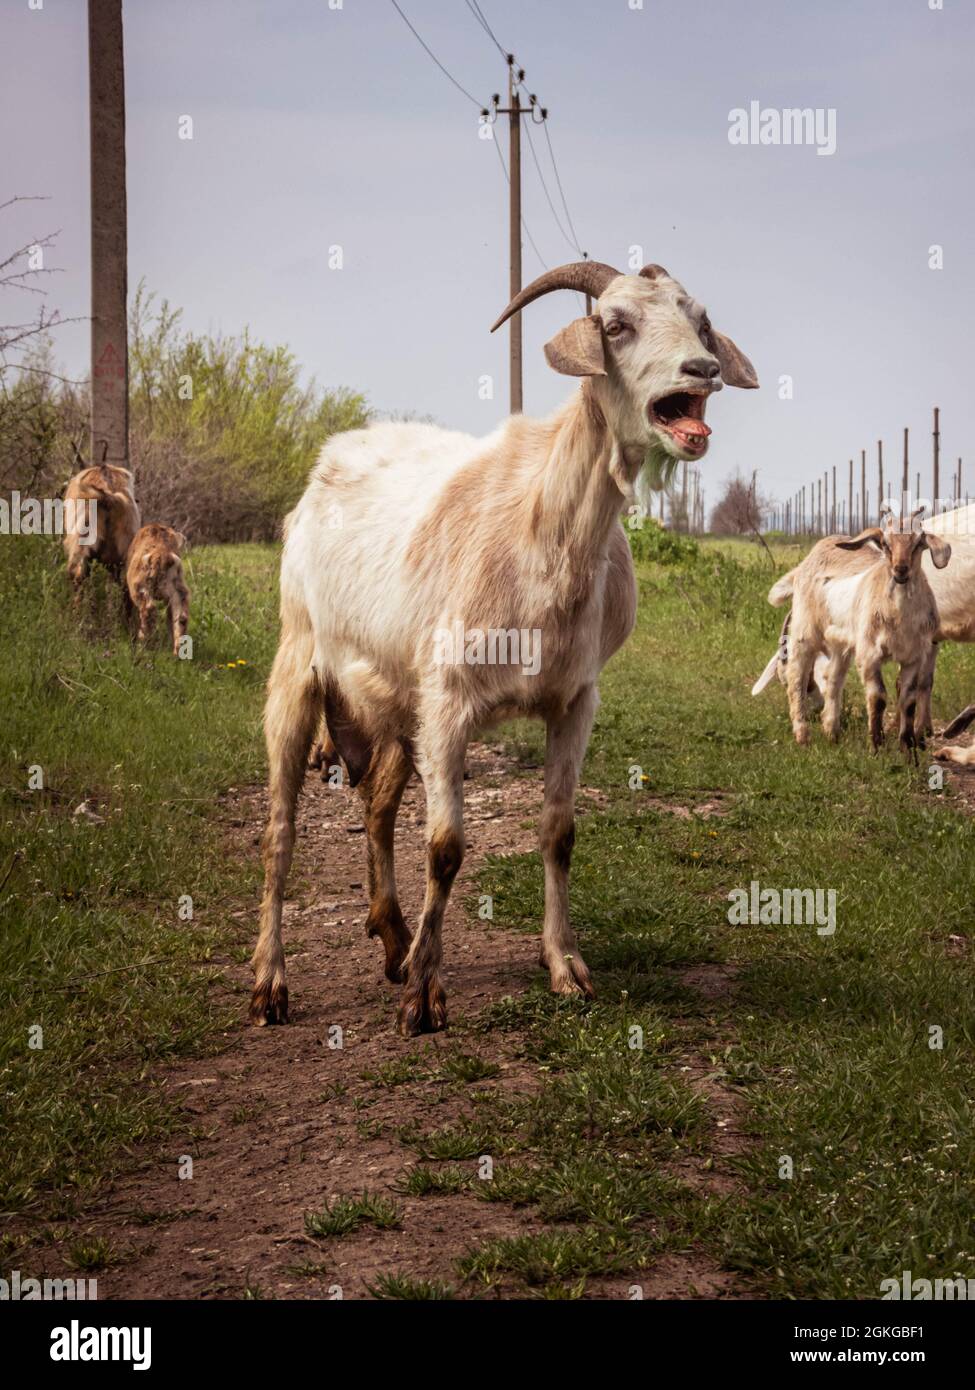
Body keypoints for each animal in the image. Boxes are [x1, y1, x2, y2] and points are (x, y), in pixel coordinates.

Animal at [124, 524, 190, 656]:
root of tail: (162, 556)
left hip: (141, 589)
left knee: (148, 611)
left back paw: (143, 646)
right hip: (178, 588)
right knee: (181, 616)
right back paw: (177, 652)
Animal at [249, 259, 758, 1034]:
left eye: (700, 321)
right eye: (615, 324)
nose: (702, 369)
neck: (543, 534)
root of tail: (324, 466)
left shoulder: (575, 699)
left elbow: (557, 832)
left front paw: (564, 965)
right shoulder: (450, 701)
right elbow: (445, 848)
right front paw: (424, 997)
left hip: (397, 699)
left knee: (377, 807)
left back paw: (391, 936)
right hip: (300, 662)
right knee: (281, 830)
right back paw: (271, 982)